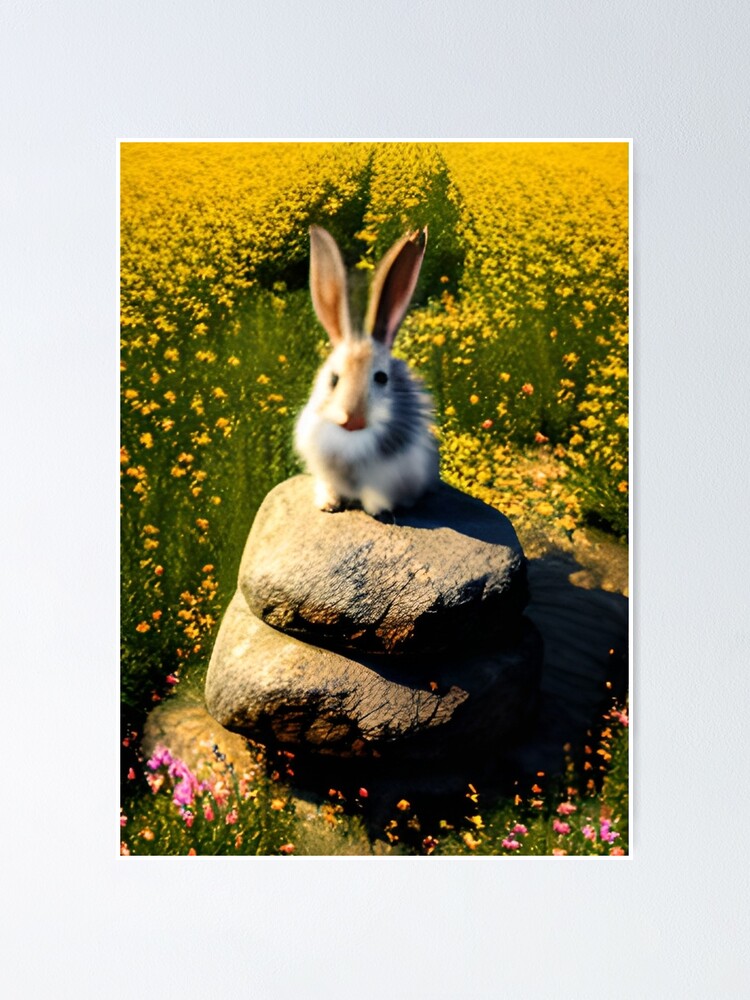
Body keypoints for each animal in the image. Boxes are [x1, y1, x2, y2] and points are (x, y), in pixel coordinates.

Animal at [294, 225, 440, 516]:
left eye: (381, 377)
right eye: (333, 379)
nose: (352, 420)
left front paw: (379, 511)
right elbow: (328, 486)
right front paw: (328, 505)